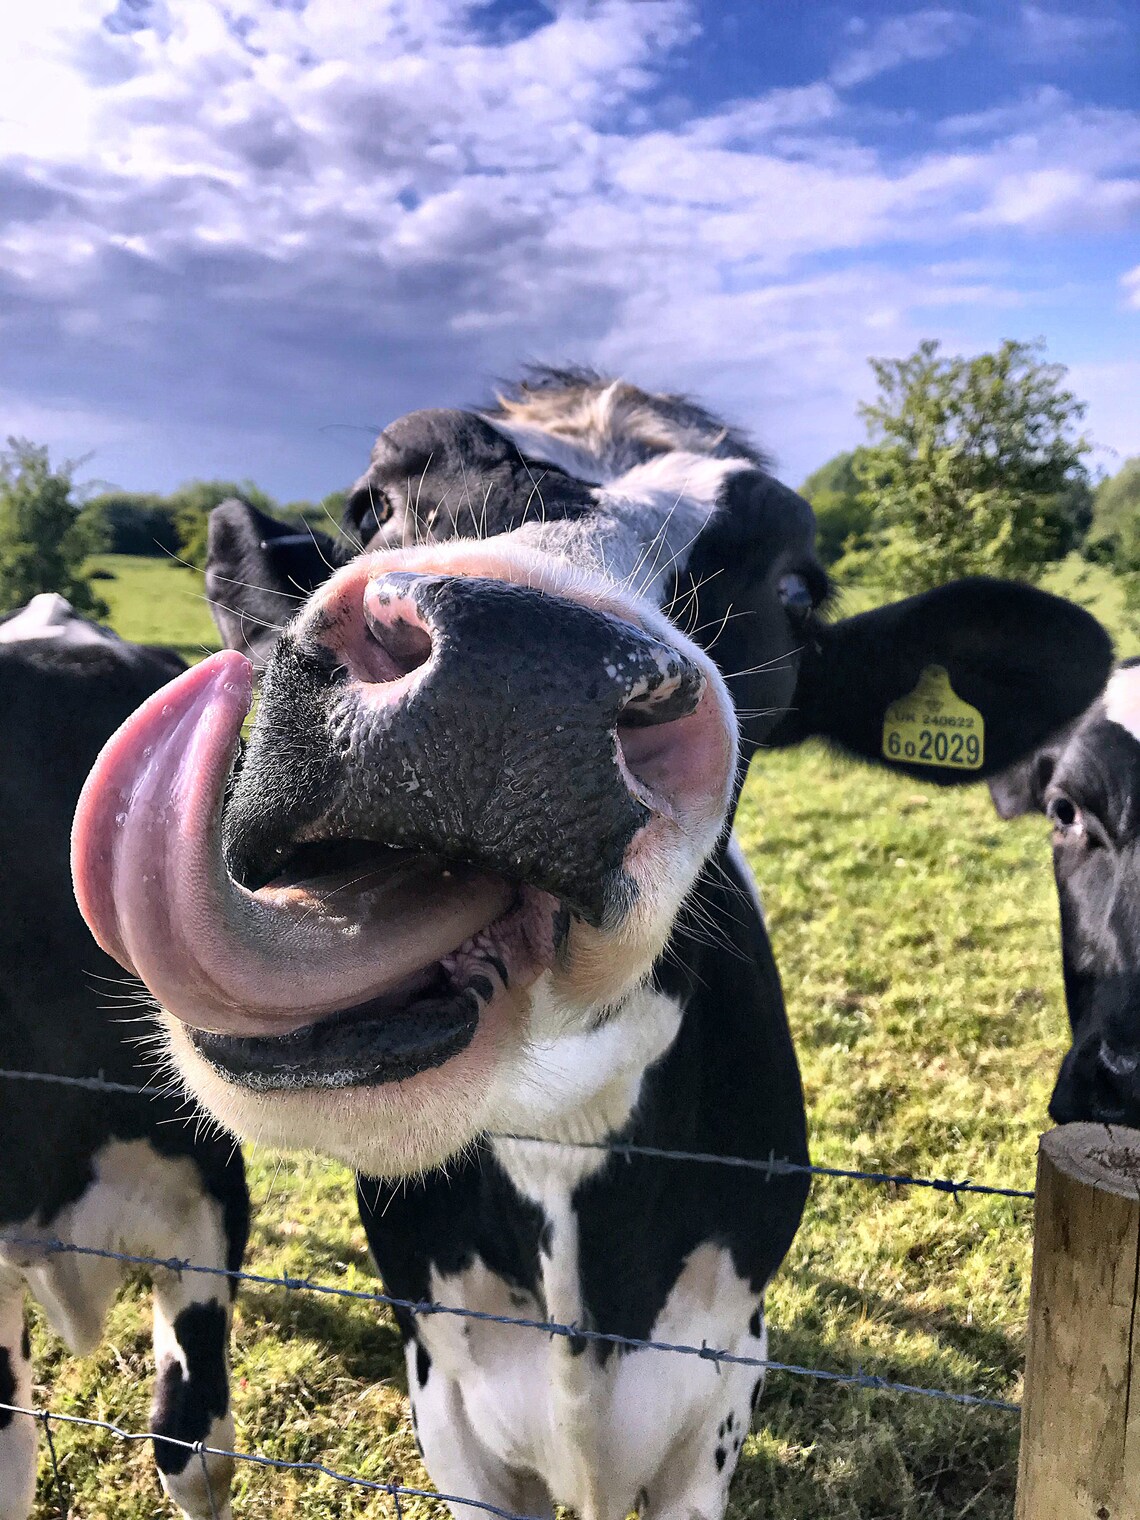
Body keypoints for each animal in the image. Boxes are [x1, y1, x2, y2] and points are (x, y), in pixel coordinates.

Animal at [72, 372, 1112, 1520]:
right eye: (371, 505)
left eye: (794, 590)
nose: (511, 677)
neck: (559, 1129)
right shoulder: (447, 1395)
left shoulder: (718, 1387)